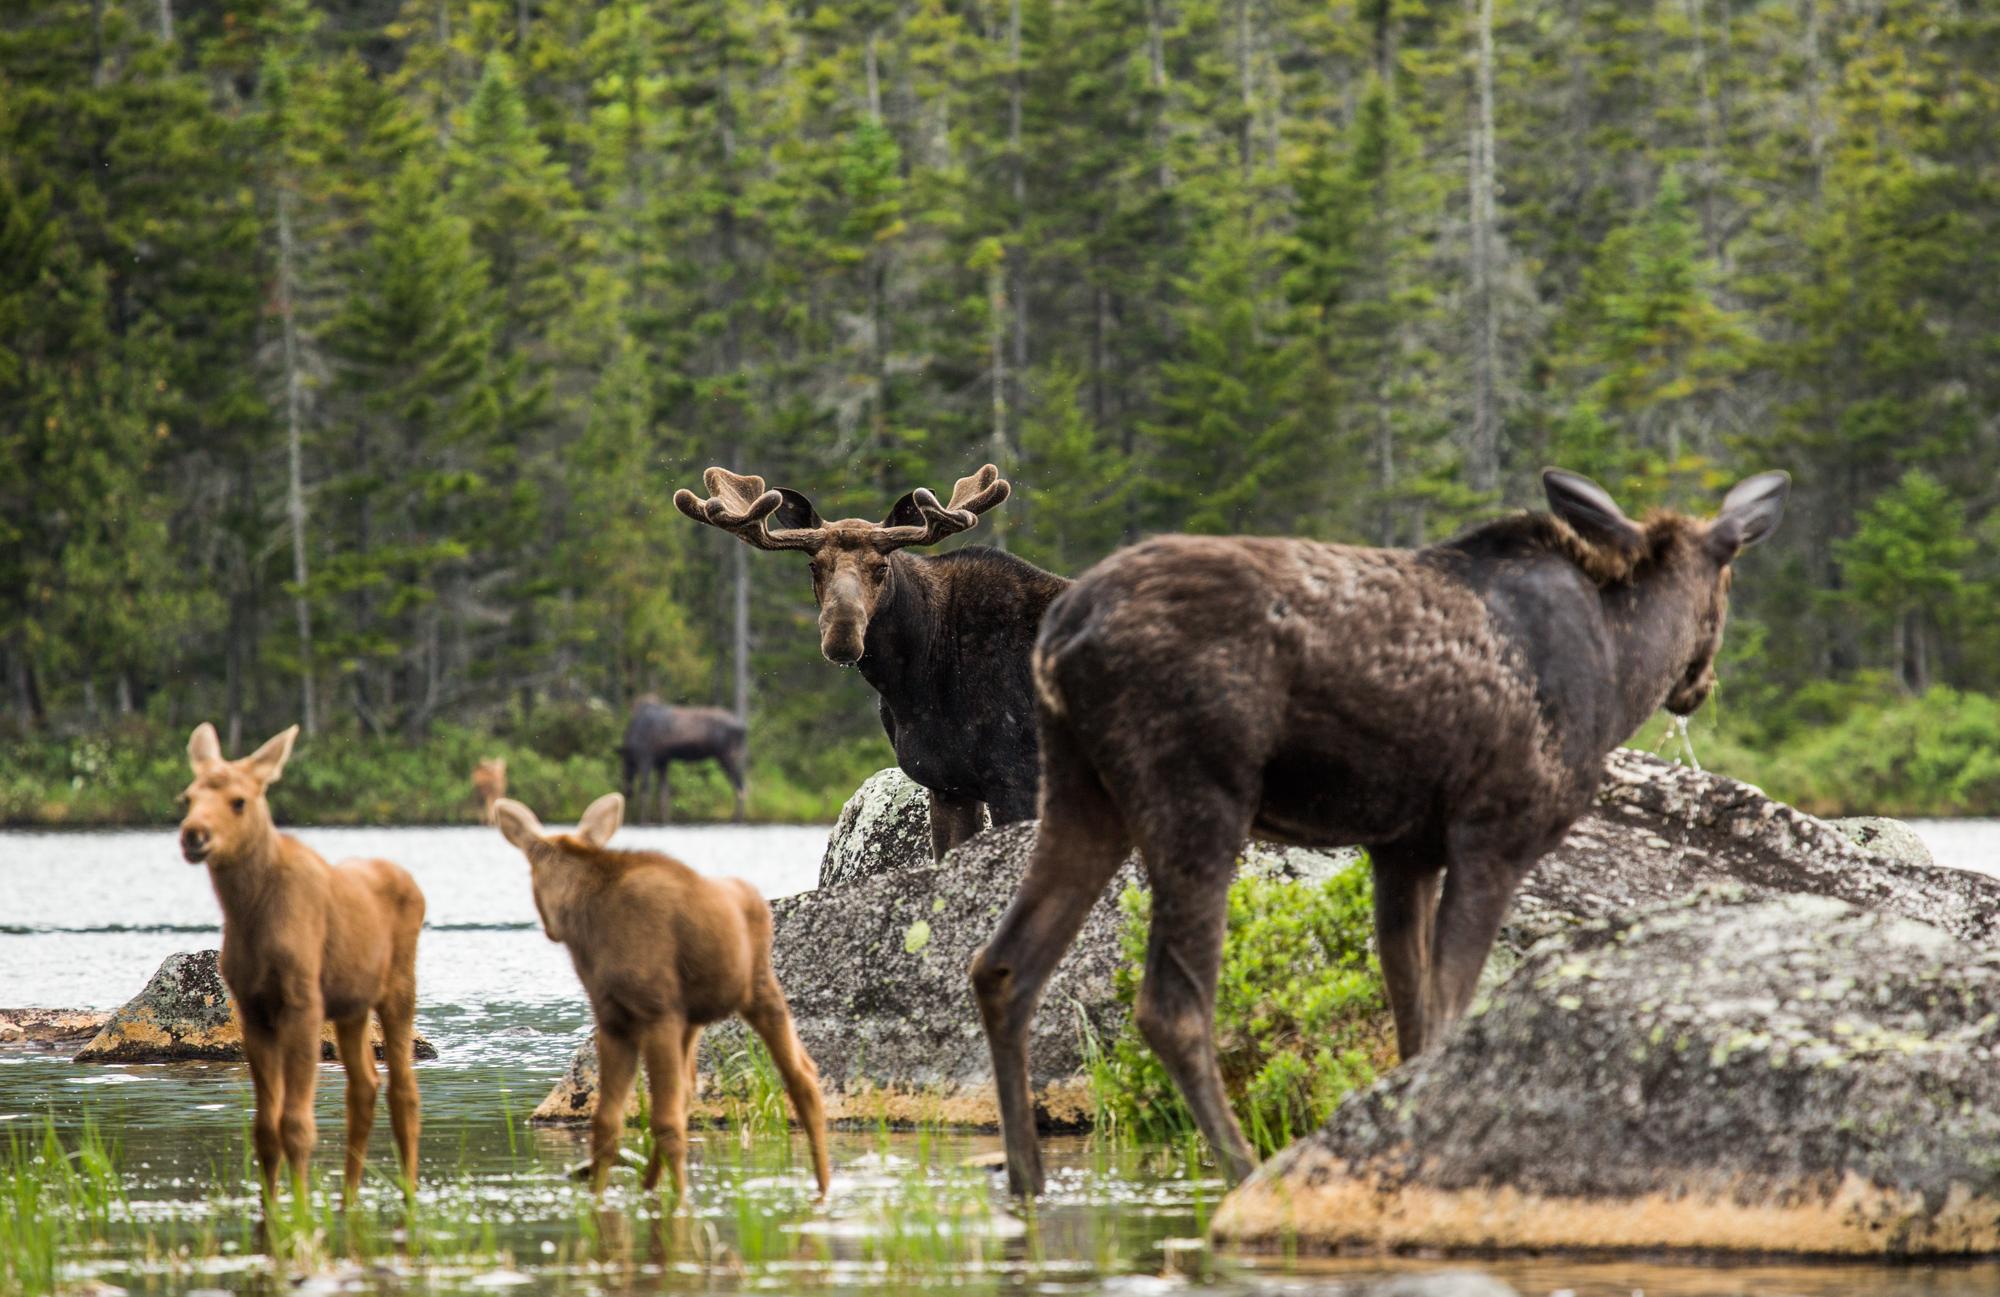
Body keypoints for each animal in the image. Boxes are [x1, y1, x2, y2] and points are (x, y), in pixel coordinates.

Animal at [177, 723, 425, 1204]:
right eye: (187, 797)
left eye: (240, 800)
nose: (194, 834)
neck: (250, 914)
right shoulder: (253, 1009)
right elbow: (263, 1129)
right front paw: (273, 1208)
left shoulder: (303, 1002)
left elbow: (296, 1123)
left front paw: (302, 1210)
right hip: (351, 1007)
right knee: (364, 1087)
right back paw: (348, 1199)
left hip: (399, 989)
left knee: (403, 1090)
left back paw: (407, 1194)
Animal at [490, 791, 831, 1198]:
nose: (550, 927)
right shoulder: (614, 1020)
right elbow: (608, 1123)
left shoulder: (657, 1013)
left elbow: (664, 1122)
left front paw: (677, 1202)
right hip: (693, 1021)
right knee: (688, 1093)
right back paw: (649, 1184)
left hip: (759, 992)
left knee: (802, 1077)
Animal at [619, 699, 749, 823]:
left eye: (624, 768)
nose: (627, 792)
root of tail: (744, 727)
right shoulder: (663, 761)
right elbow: (664, 795)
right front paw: (666, 822)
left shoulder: (645, 758)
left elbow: (645, 791)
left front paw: (643, 822)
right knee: (742, 786)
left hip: (728, 756)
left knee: (740, 787)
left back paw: (736, 819)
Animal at [675, 464, 1069, 860]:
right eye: (814, 565)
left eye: (881, 567)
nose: (842, 634)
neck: (918, 680)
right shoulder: (948, 786)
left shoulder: (1016, 777)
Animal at [970, 469, 1790, 1196]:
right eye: (1728, 579)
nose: (1699, 684)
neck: (1623, 667)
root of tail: (1062, 634)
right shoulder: (1495, 834)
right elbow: (1451, 1001)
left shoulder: (1403, 850)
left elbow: (1411, 1014)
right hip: (1196, 795)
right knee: (1170, 1006)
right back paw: (1243, 1169)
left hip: (1081, 791)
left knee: (1003, 967)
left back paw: (1028, 1181)